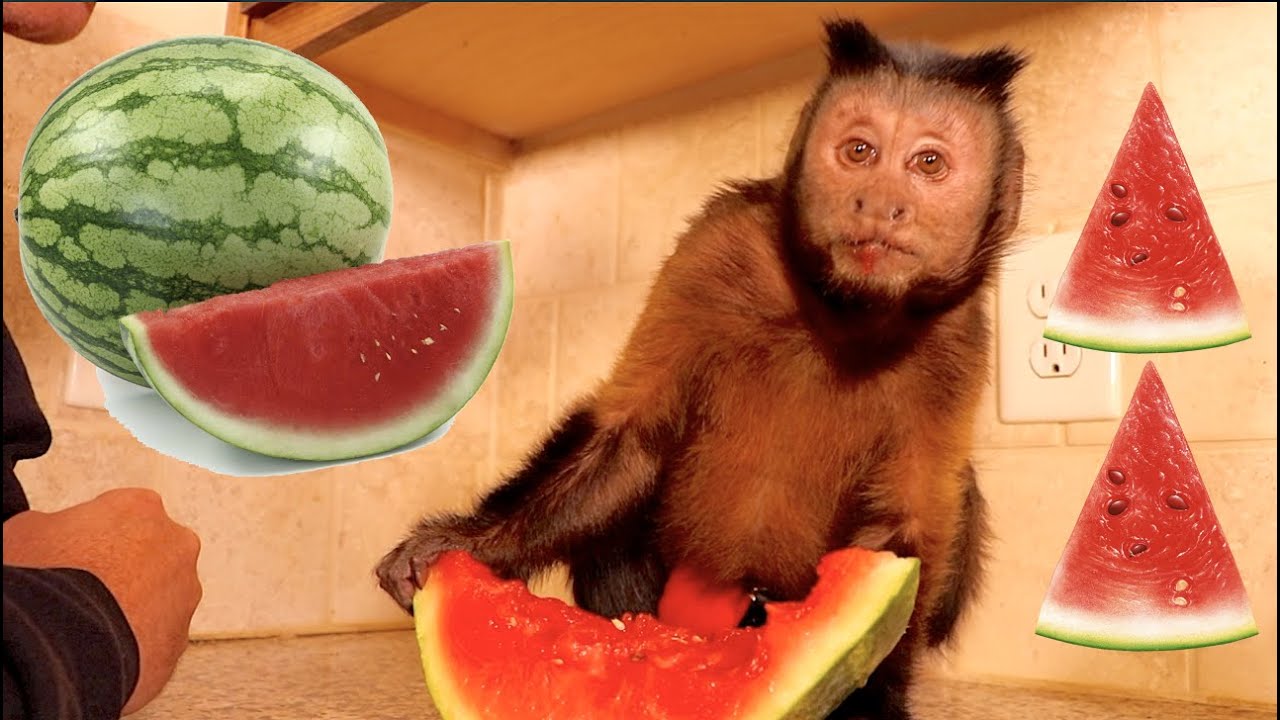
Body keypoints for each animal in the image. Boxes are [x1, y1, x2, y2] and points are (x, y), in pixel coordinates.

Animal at [376, 18, 1027, 720]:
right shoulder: (718, 249)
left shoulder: (958, 338)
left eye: (928, 163)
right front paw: (468, 542)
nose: (878, 203)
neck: (843, 315)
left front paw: (870, 693)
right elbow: (630, 436)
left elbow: (906, 523)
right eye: (859, 151)